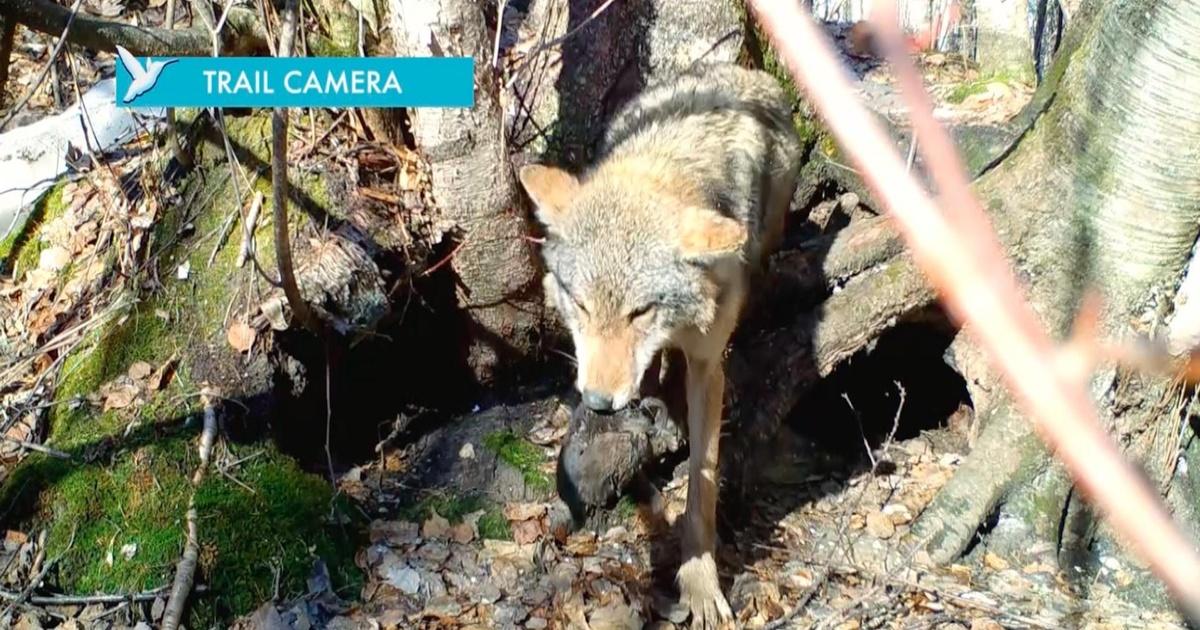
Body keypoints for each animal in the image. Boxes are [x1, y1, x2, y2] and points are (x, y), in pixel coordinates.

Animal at [519, 62, 802, 628]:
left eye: (640, 311)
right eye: (581, 305)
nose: (598, 402)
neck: (664, 162)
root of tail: (742, 69)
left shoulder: (709, 363)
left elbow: (703, 484)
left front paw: (699, 584)